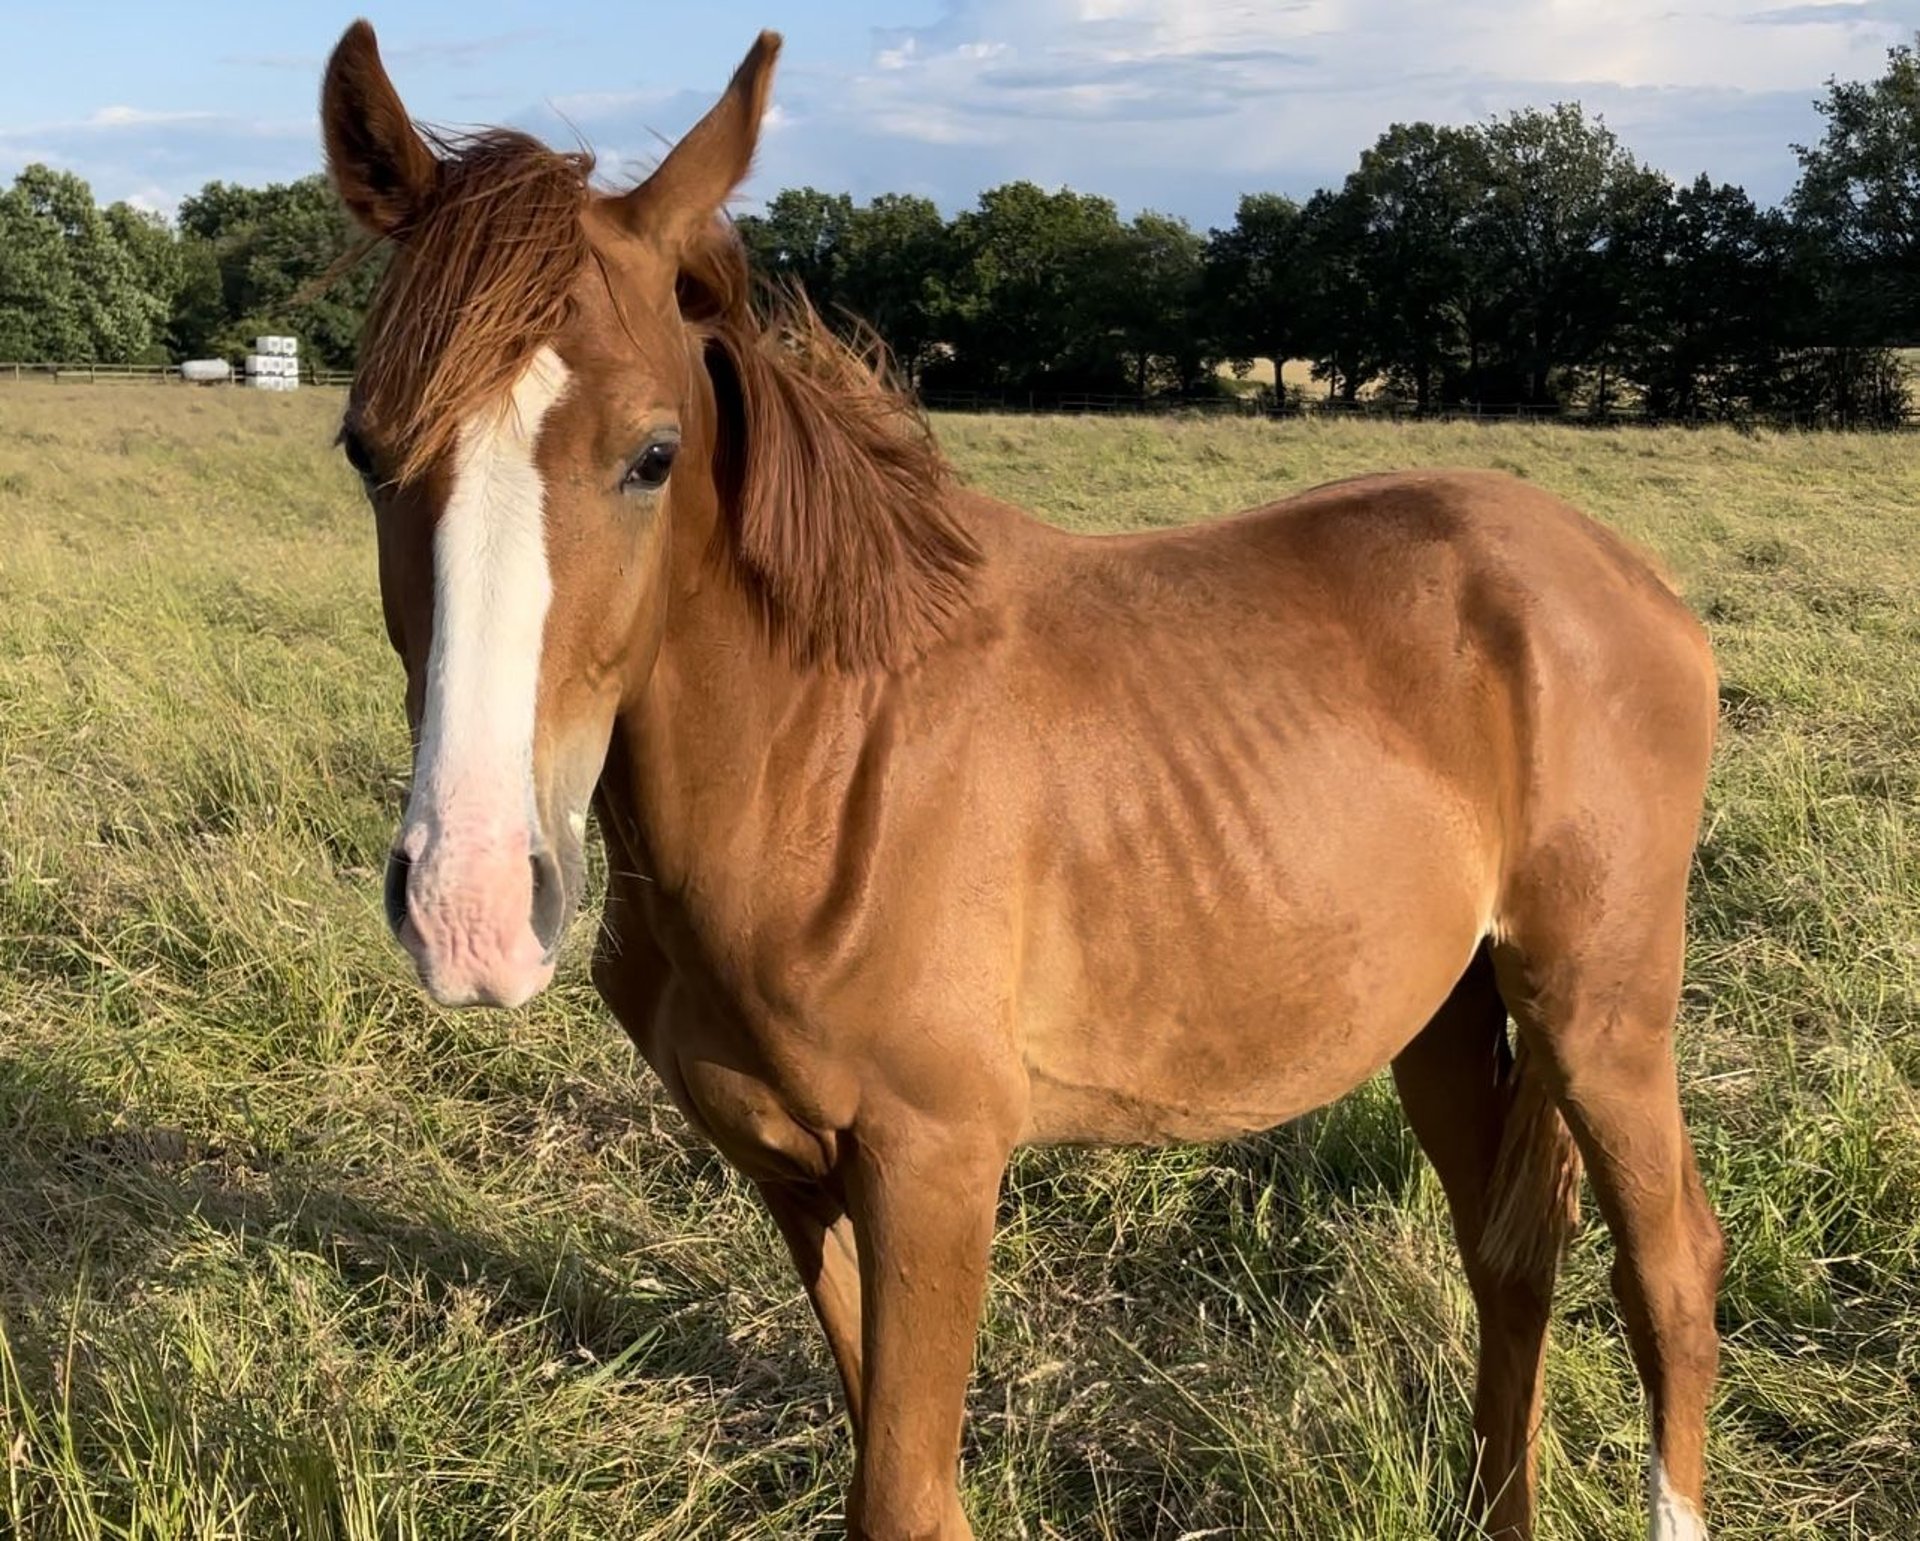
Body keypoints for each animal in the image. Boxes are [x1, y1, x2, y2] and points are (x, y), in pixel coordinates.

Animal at [320, 21, 1723, 1540]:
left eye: (653, 454)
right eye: (364, 448)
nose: (469, 910)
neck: (821, 762)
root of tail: (1632, 578)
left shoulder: (936, 1169)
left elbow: (898, 1490)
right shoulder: (800, 1182)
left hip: (1598, 1009)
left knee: (1669, 1275)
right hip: (1449, 1017)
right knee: (1509, 1256)